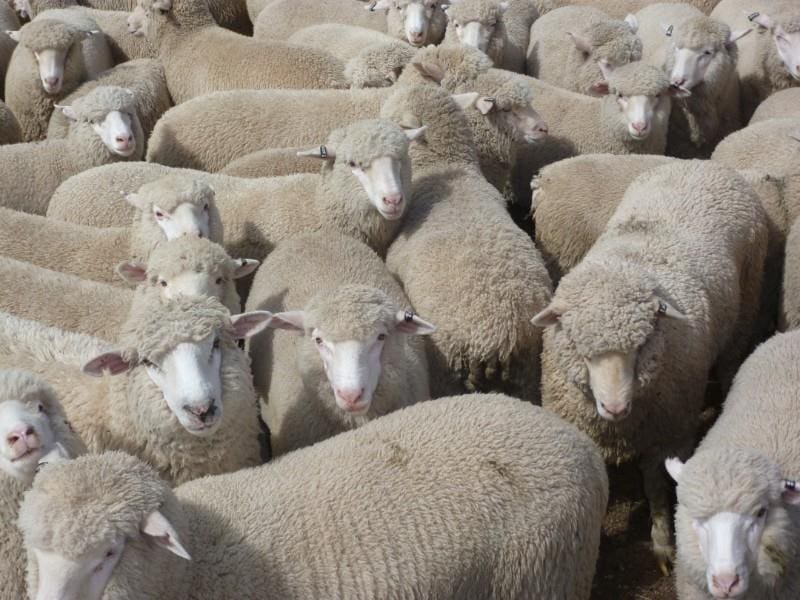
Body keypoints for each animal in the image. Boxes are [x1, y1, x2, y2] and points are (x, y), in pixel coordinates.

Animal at [532, 160, 769, 574]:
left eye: (641, 344)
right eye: (581, 347)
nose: (615, 407)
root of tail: (701, 165)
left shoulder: (669, 433)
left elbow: (657, 489)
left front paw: (662, 546)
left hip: (746, 303)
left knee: (731, 360)